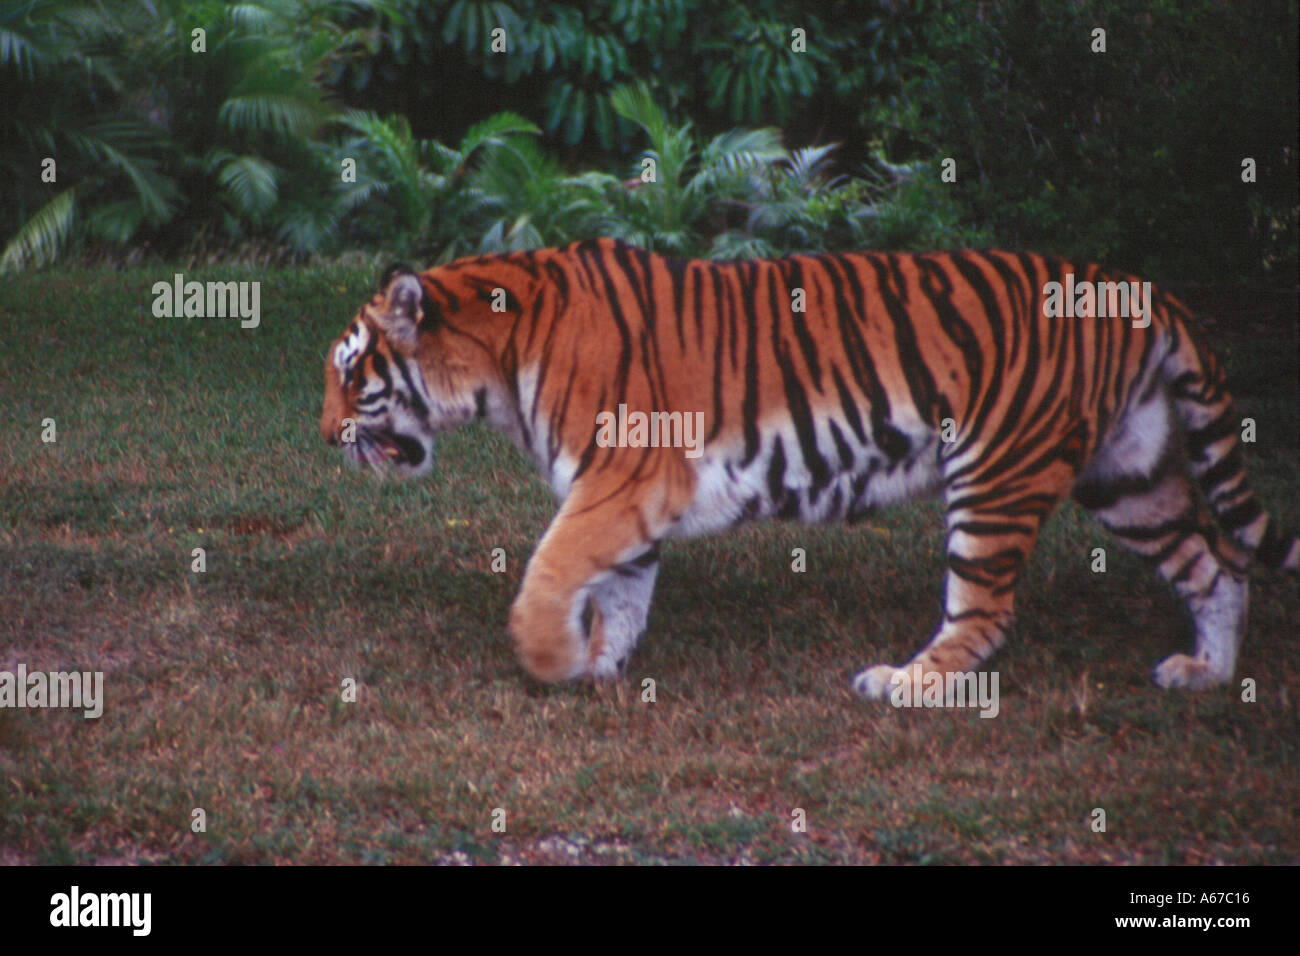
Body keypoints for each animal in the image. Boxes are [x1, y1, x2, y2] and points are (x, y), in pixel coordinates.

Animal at [319, 238, 1297, 697]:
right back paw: (1207, 674)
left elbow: (550, 571)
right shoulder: (628, 497)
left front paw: (547, 658)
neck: (496, 359)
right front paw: (598, 668)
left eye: (349, 371)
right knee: (1216, 567)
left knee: (985, 612)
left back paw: (903, 685)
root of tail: (1146, 291)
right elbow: (621, 593)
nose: (324, 432)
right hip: (1125, 475)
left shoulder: (624, 477)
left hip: (997, 473)